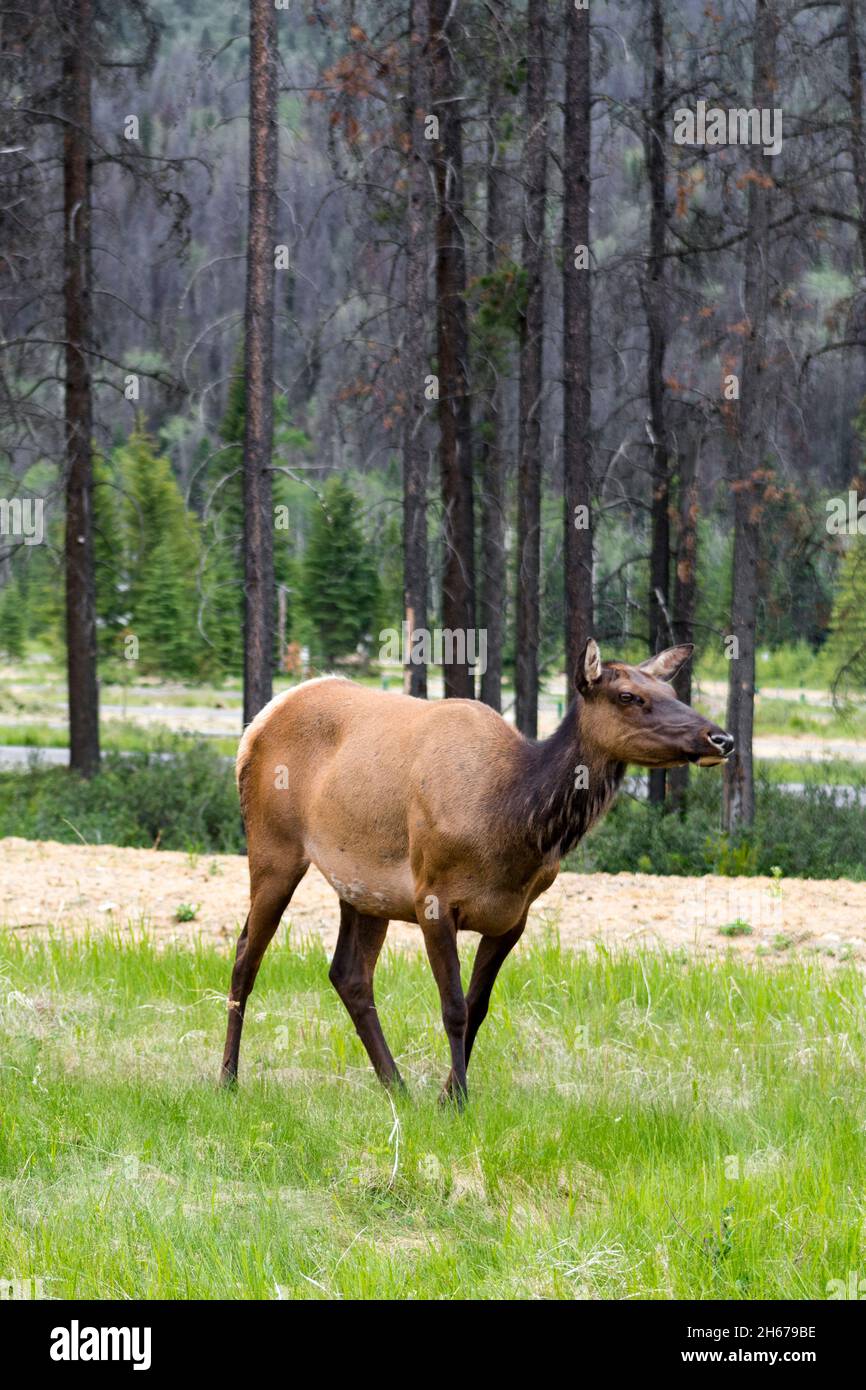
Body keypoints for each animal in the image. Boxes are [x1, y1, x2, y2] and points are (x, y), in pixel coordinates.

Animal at [221, 639, 733, 1105]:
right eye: (628, 696)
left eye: (670, 690)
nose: (721, 739)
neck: (510, 821)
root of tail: (259, 721)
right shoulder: (431, 897)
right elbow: (453, 1008)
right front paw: (459, 1101)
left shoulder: (514, 916)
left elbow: (478, 1005)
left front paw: (448, 1094)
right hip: (274, 847)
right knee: (246, 955)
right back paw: (228, 1079)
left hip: (364, 887)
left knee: (349, 974)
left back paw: (396, 1087)